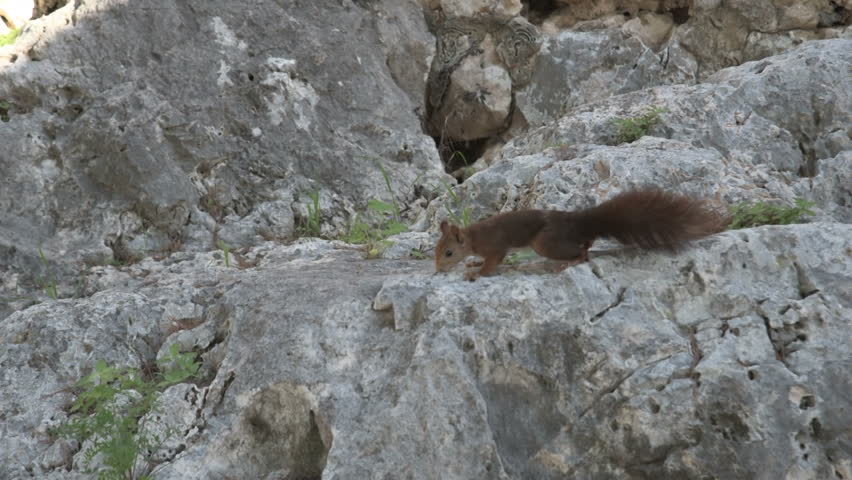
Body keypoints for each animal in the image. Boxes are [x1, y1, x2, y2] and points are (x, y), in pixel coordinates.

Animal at [435, 189, 729, 281]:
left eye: (448, 252)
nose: (438, 270)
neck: (472, 238)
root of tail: (576, 223)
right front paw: (472, 262)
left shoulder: (495, 248)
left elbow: (493, 264)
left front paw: (476, 272)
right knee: (587, 243)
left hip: (544, 242)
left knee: (583, 252)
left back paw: (572, 262)